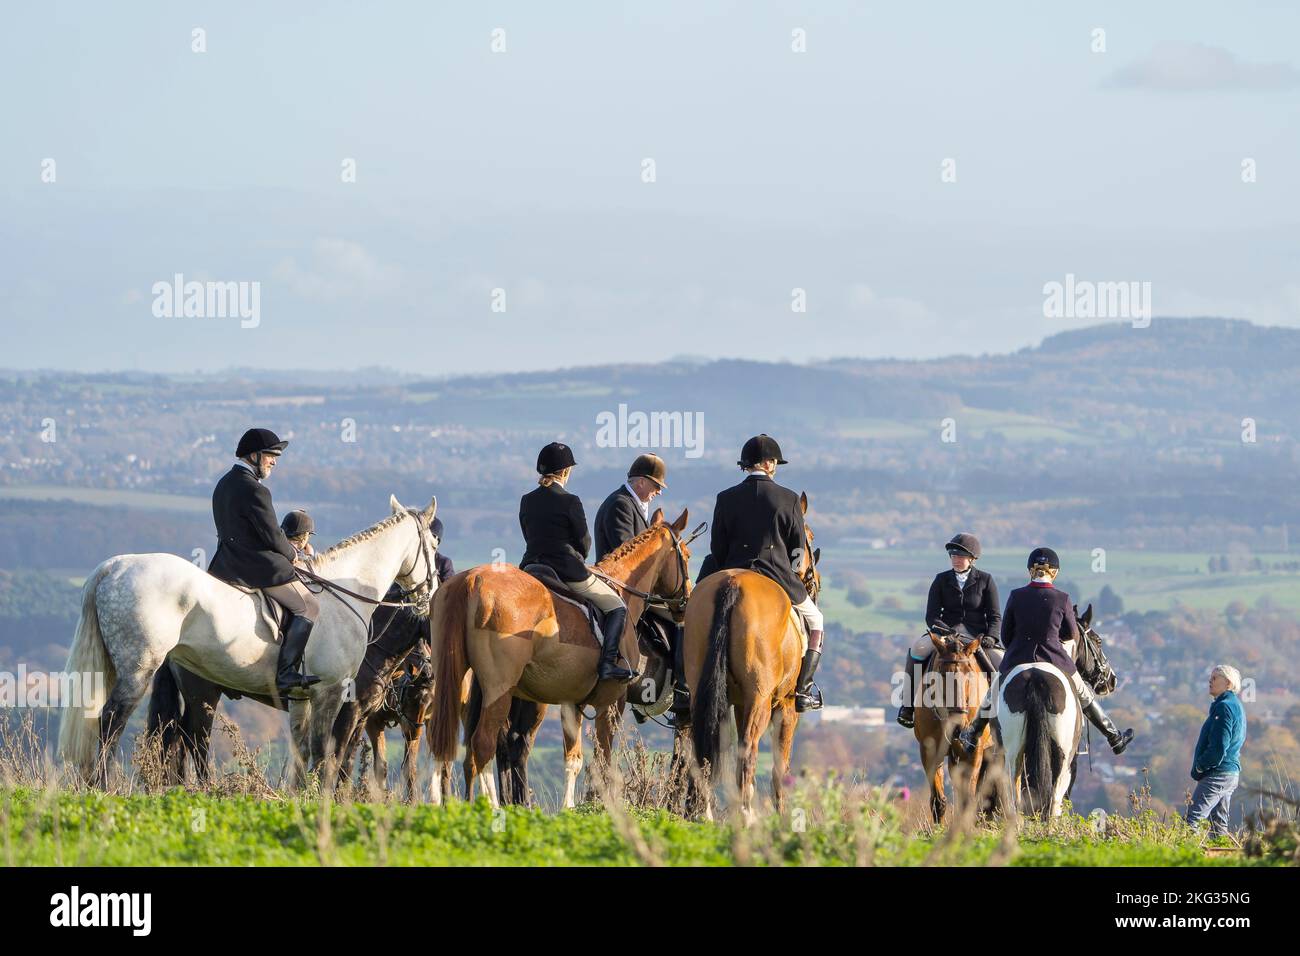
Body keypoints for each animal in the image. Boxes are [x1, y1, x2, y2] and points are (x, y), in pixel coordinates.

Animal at [59, 495, 439, 786]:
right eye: (433, 546)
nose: (430, 594)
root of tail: (114, 566)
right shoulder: (334, 694)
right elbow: (327, 753)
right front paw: (324, 798)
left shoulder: (304, 697)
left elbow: (303, 749)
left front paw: (301, 796)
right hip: (145, 669)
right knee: (117, 722)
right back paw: (105, 786)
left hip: (185, 682)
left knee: (184, 737)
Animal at [427, 508, 693, 807]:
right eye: (686, 555)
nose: (686, 603)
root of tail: (470, 579)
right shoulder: (611, 702)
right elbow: (604, 760)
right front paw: (601, 806)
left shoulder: (571, 702)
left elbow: (574, 759)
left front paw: (570, 808)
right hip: (501, 690)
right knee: (485, 743)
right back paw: (494, 807)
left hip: (455, 679)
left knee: (447, 740)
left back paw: (440, 803)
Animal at [684, 493, 821, 825]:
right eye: (808, 537)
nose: (815, 583)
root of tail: (731, 585)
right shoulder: (785, 707)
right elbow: (780, 769)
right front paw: (782, 818)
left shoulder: (738, 702)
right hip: (761, 698)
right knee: (748, 749)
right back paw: (747, 816)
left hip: (704, 690)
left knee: (706, 744)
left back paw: (706, 813)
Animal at [912, 624, 992, 825]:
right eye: (941, 674)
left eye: (969, 673)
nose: (958, 727)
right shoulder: (930, 750)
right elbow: (938, 800)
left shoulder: (974, 749)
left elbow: (968, 799)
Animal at [995, 604, 1116, 819]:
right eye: (1098, 641)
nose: (1112, 680)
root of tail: (1035, 678)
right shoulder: (1072, 763)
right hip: (1062, 758)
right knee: (1054, 800)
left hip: (1013, 755)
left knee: (1016, 798)